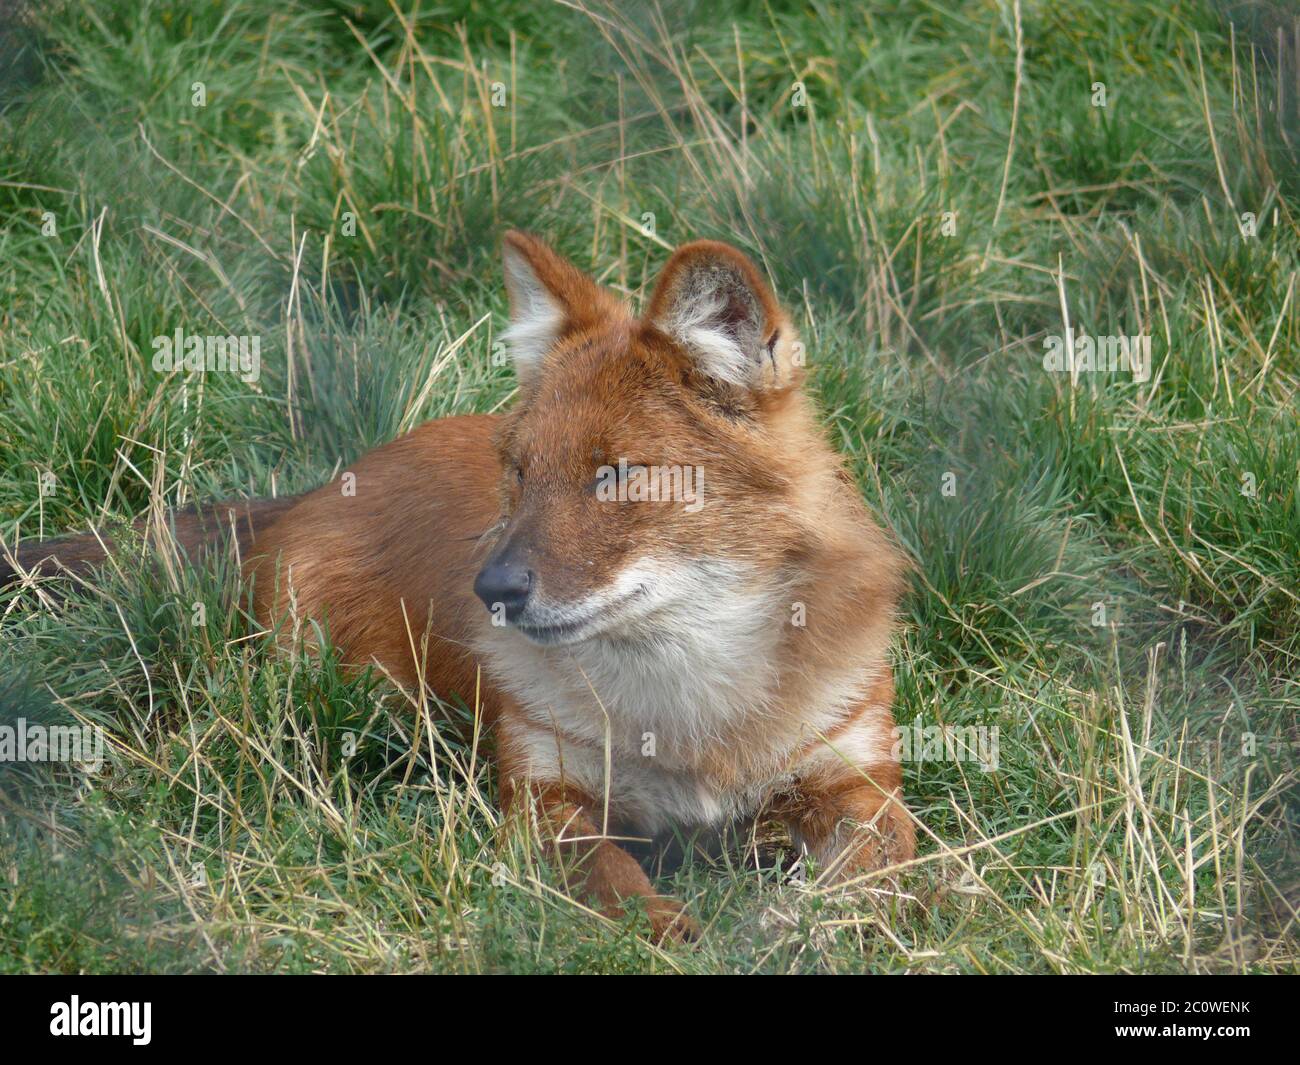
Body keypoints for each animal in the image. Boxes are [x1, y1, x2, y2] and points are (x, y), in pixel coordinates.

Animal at [2, 232, 915, 942]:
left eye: (615, 475)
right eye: (518, 470)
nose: (494, 589)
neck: (689, 693)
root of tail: (320, 487)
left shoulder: (856, 781)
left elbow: (881, 865)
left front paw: (820, 919)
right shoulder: (544, 796)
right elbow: (607, 873)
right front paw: (663, 925)